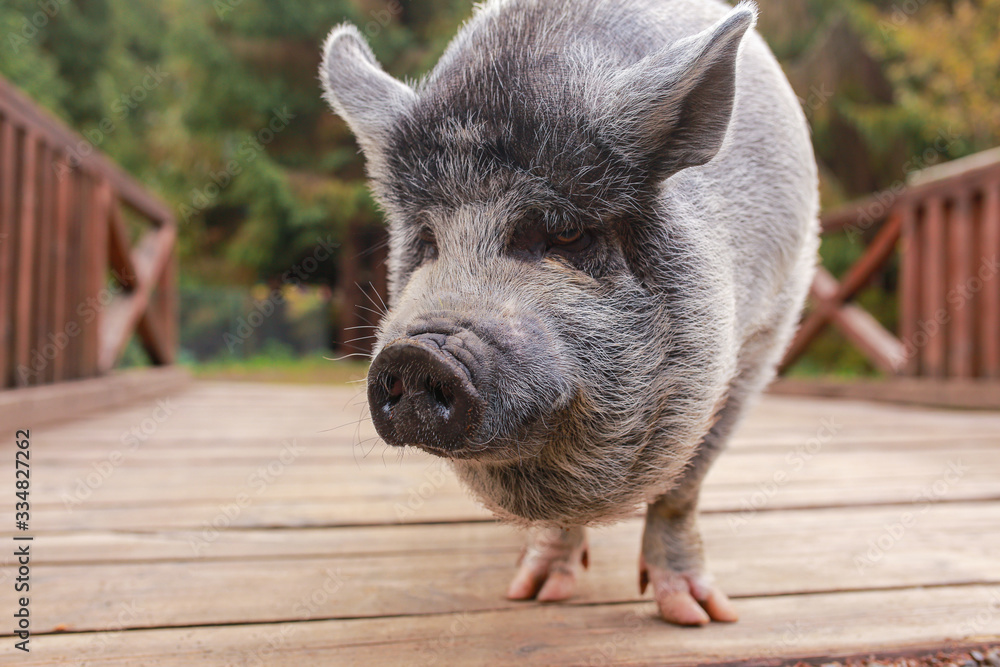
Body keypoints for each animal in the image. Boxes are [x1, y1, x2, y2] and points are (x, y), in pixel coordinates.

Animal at [320, 0, 818, 626]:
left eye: (565, 234)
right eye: (429, 241)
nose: (418, 352)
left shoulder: (762, 338)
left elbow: (685, 485)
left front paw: (700, 616)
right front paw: (533, 594)